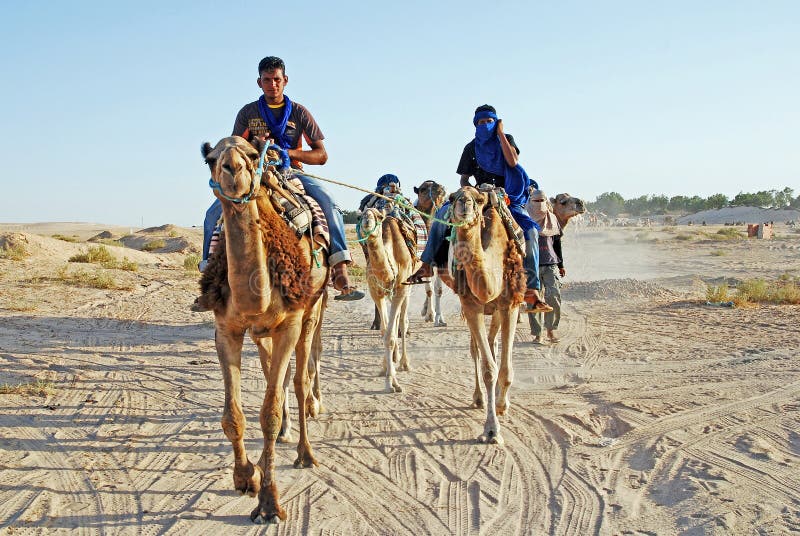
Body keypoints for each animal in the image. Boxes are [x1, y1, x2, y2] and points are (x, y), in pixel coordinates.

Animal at [197, 136, 328, 525]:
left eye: (254, 155)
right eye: (210, 158)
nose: (233, 169)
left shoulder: (290, 324)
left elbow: (270, 413)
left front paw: (270, 502)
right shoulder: (226, 328)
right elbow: (232, 415)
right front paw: (245, 477)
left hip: (311, 310)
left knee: (299, 381)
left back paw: (305, 453)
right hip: (260, 332)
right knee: (276, 375)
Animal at [360, 206, 420, 392]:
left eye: (379, 217)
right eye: (361, 215)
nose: (367, 220)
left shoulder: (401, 289)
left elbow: (390, 336)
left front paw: (392, 382)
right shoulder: (376, 293)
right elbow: (384, 332)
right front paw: (385, 369)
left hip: (408, 287)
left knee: (403, 322)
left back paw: (404, 363)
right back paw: (392, 360)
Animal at [441, 186, 526, 445]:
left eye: (479, 200)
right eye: (452, 197)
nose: (464, 204)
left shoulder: (510, 304)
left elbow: (505, 367)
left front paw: (501, 404)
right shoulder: (471, 305)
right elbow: (489, 367)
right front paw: (491, 430)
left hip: (497, 310)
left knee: (493, 343)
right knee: (477, 349)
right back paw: (479, 397)